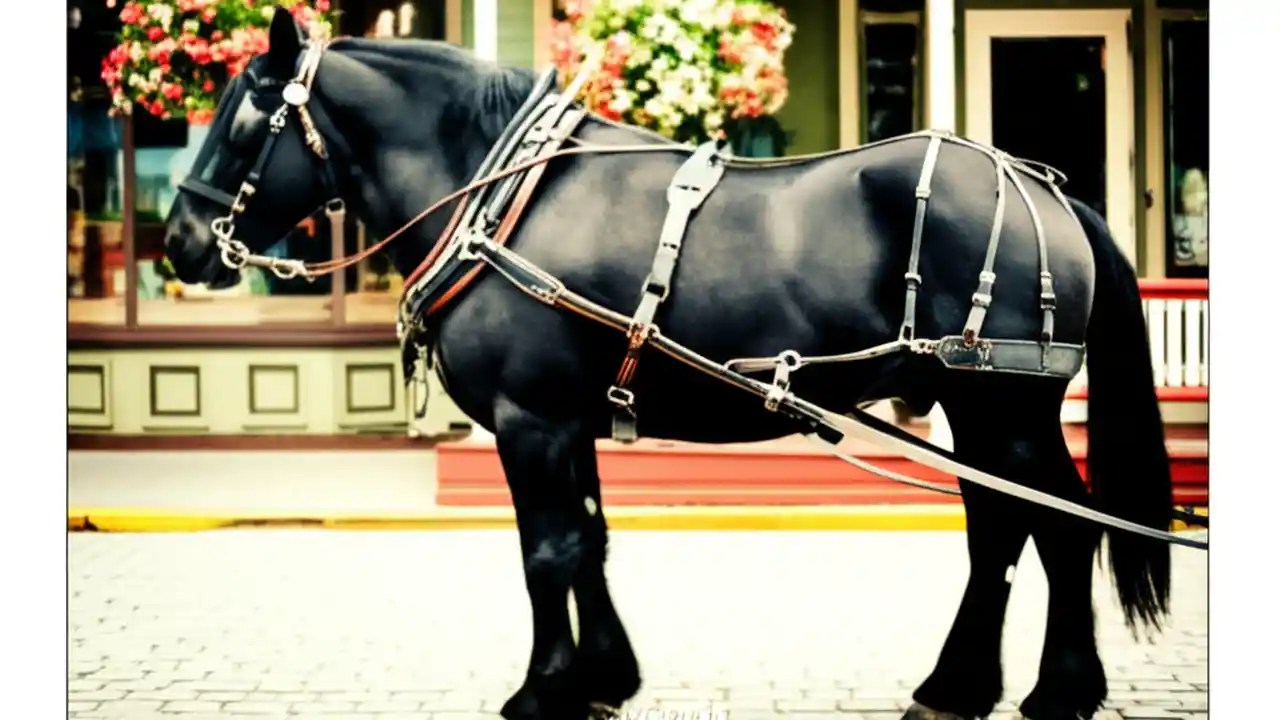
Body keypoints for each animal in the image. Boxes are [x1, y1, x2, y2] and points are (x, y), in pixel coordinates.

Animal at [162, 11, 1176, 720]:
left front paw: (543, 689)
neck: (500, 199)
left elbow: (546, 551)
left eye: (245, 118)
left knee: (1062, 526)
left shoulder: (530, 419)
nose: (178, 243)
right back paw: (958, 684)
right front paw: (606, 675)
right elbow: (592, 540)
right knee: (1001, 530)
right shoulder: (566, 419)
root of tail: (1049, 190)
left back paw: (1060, 689)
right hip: (976, 409)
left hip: (1006, 408)